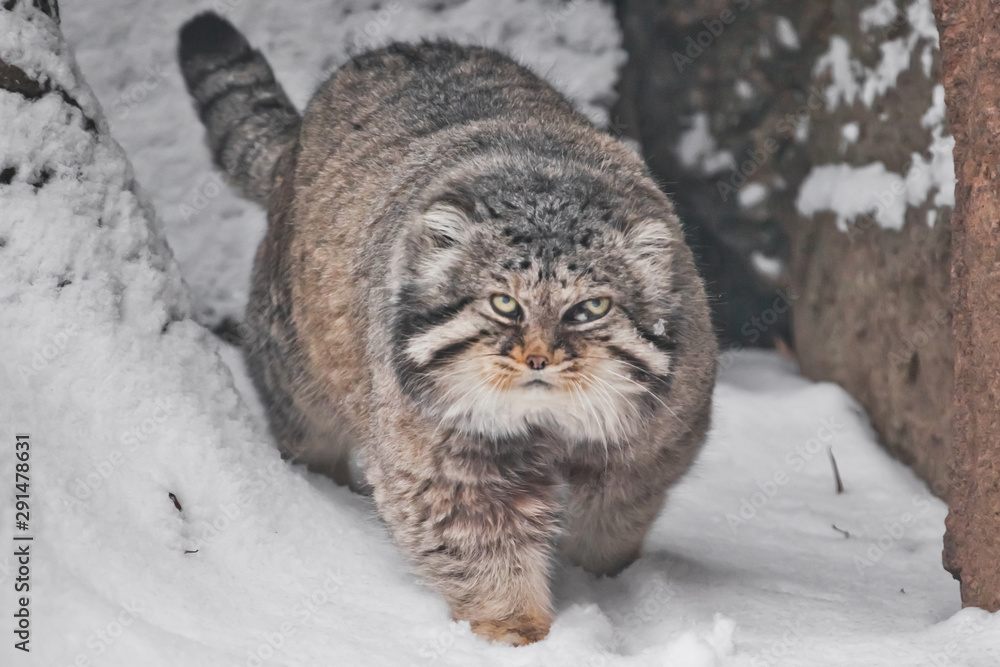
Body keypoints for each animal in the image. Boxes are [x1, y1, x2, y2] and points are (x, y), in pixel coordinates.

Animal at [176, 11, 716, 648]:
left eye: (590, 309)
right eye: (504, 303)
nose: (539, 359)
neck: (551, 426)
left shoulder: (659, 441)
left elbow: (614, 517)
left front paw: (598, 581)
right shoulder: (440, 458)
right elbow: (481, 546)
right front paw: (517, 631)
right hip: (295, 363)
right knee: (306, 429)